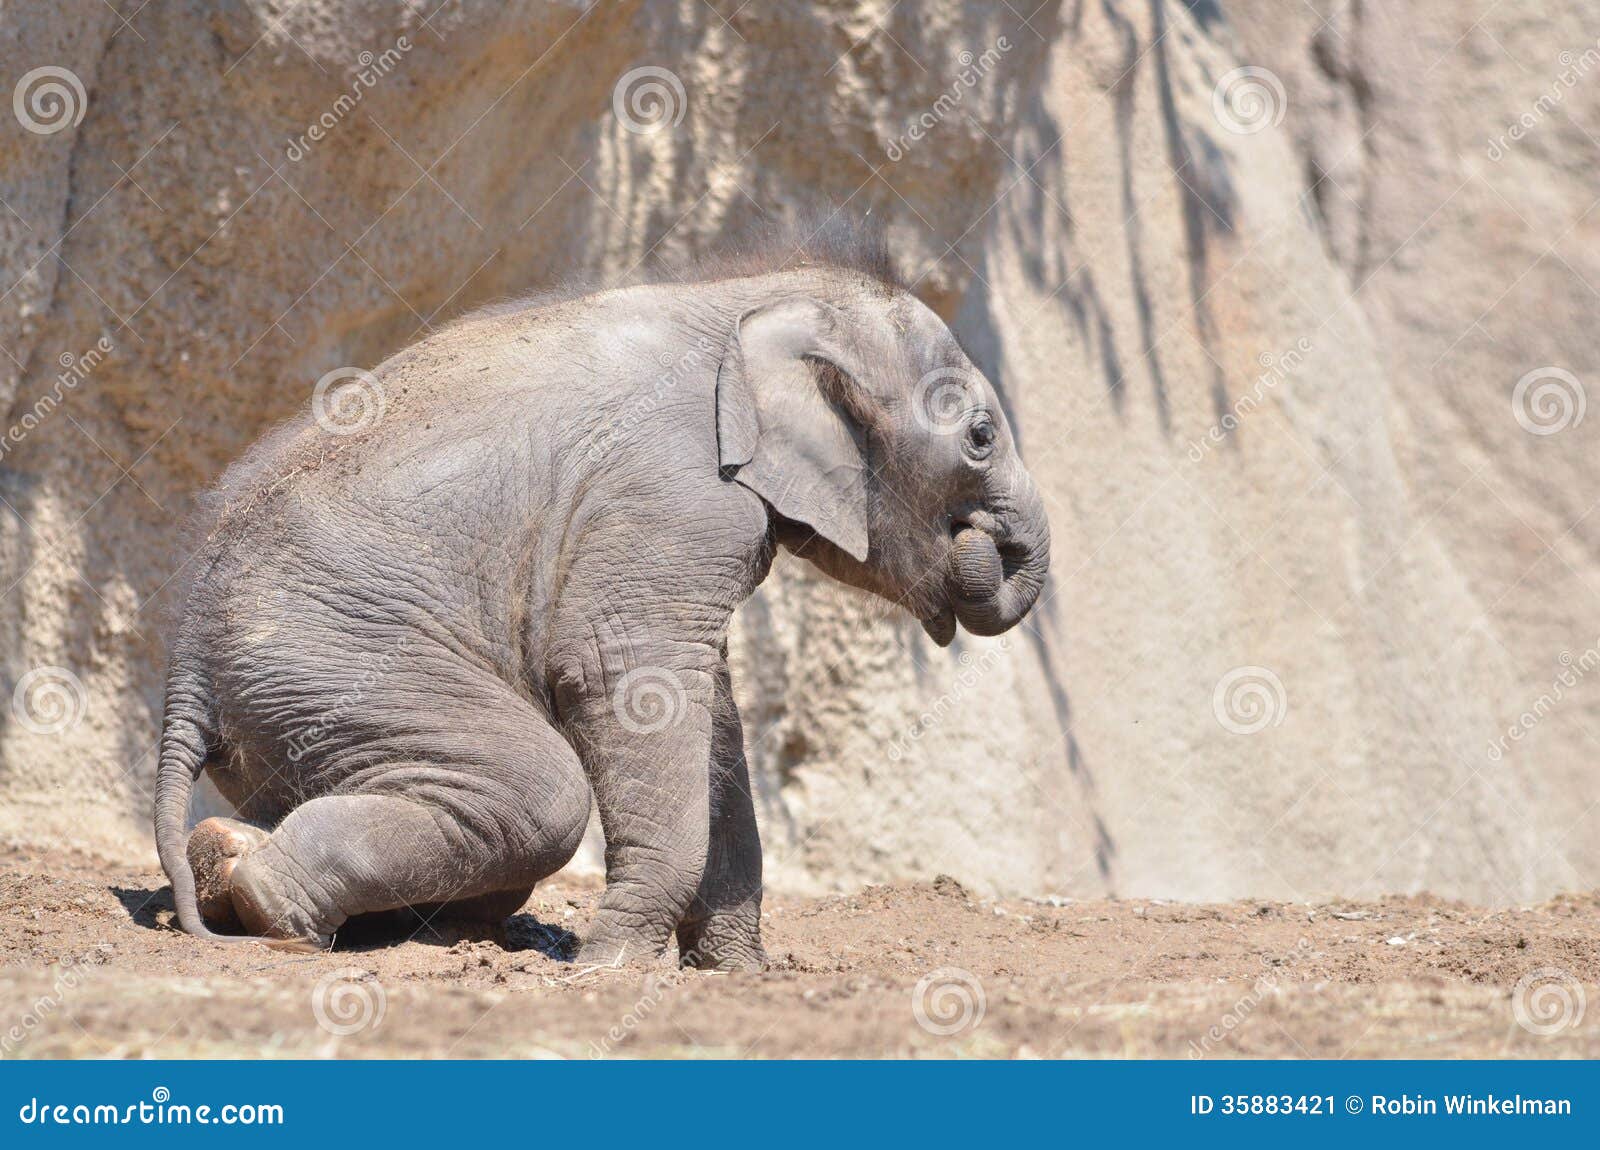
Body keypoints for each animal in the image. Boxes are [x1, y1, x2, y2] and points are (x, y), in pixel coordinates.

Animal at [154, 238, 1051, 969]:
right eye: (980, 437)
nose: (981, 546)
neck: (755, 295)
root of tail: (184, 668)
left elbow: (709, 711)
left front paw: (735, 972)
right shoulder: (672, 495)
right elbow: (629, 680)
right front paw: (610, 968)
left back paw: (240, 867)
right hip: (333, 661)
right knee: (539, 794)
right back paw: (265, 903)